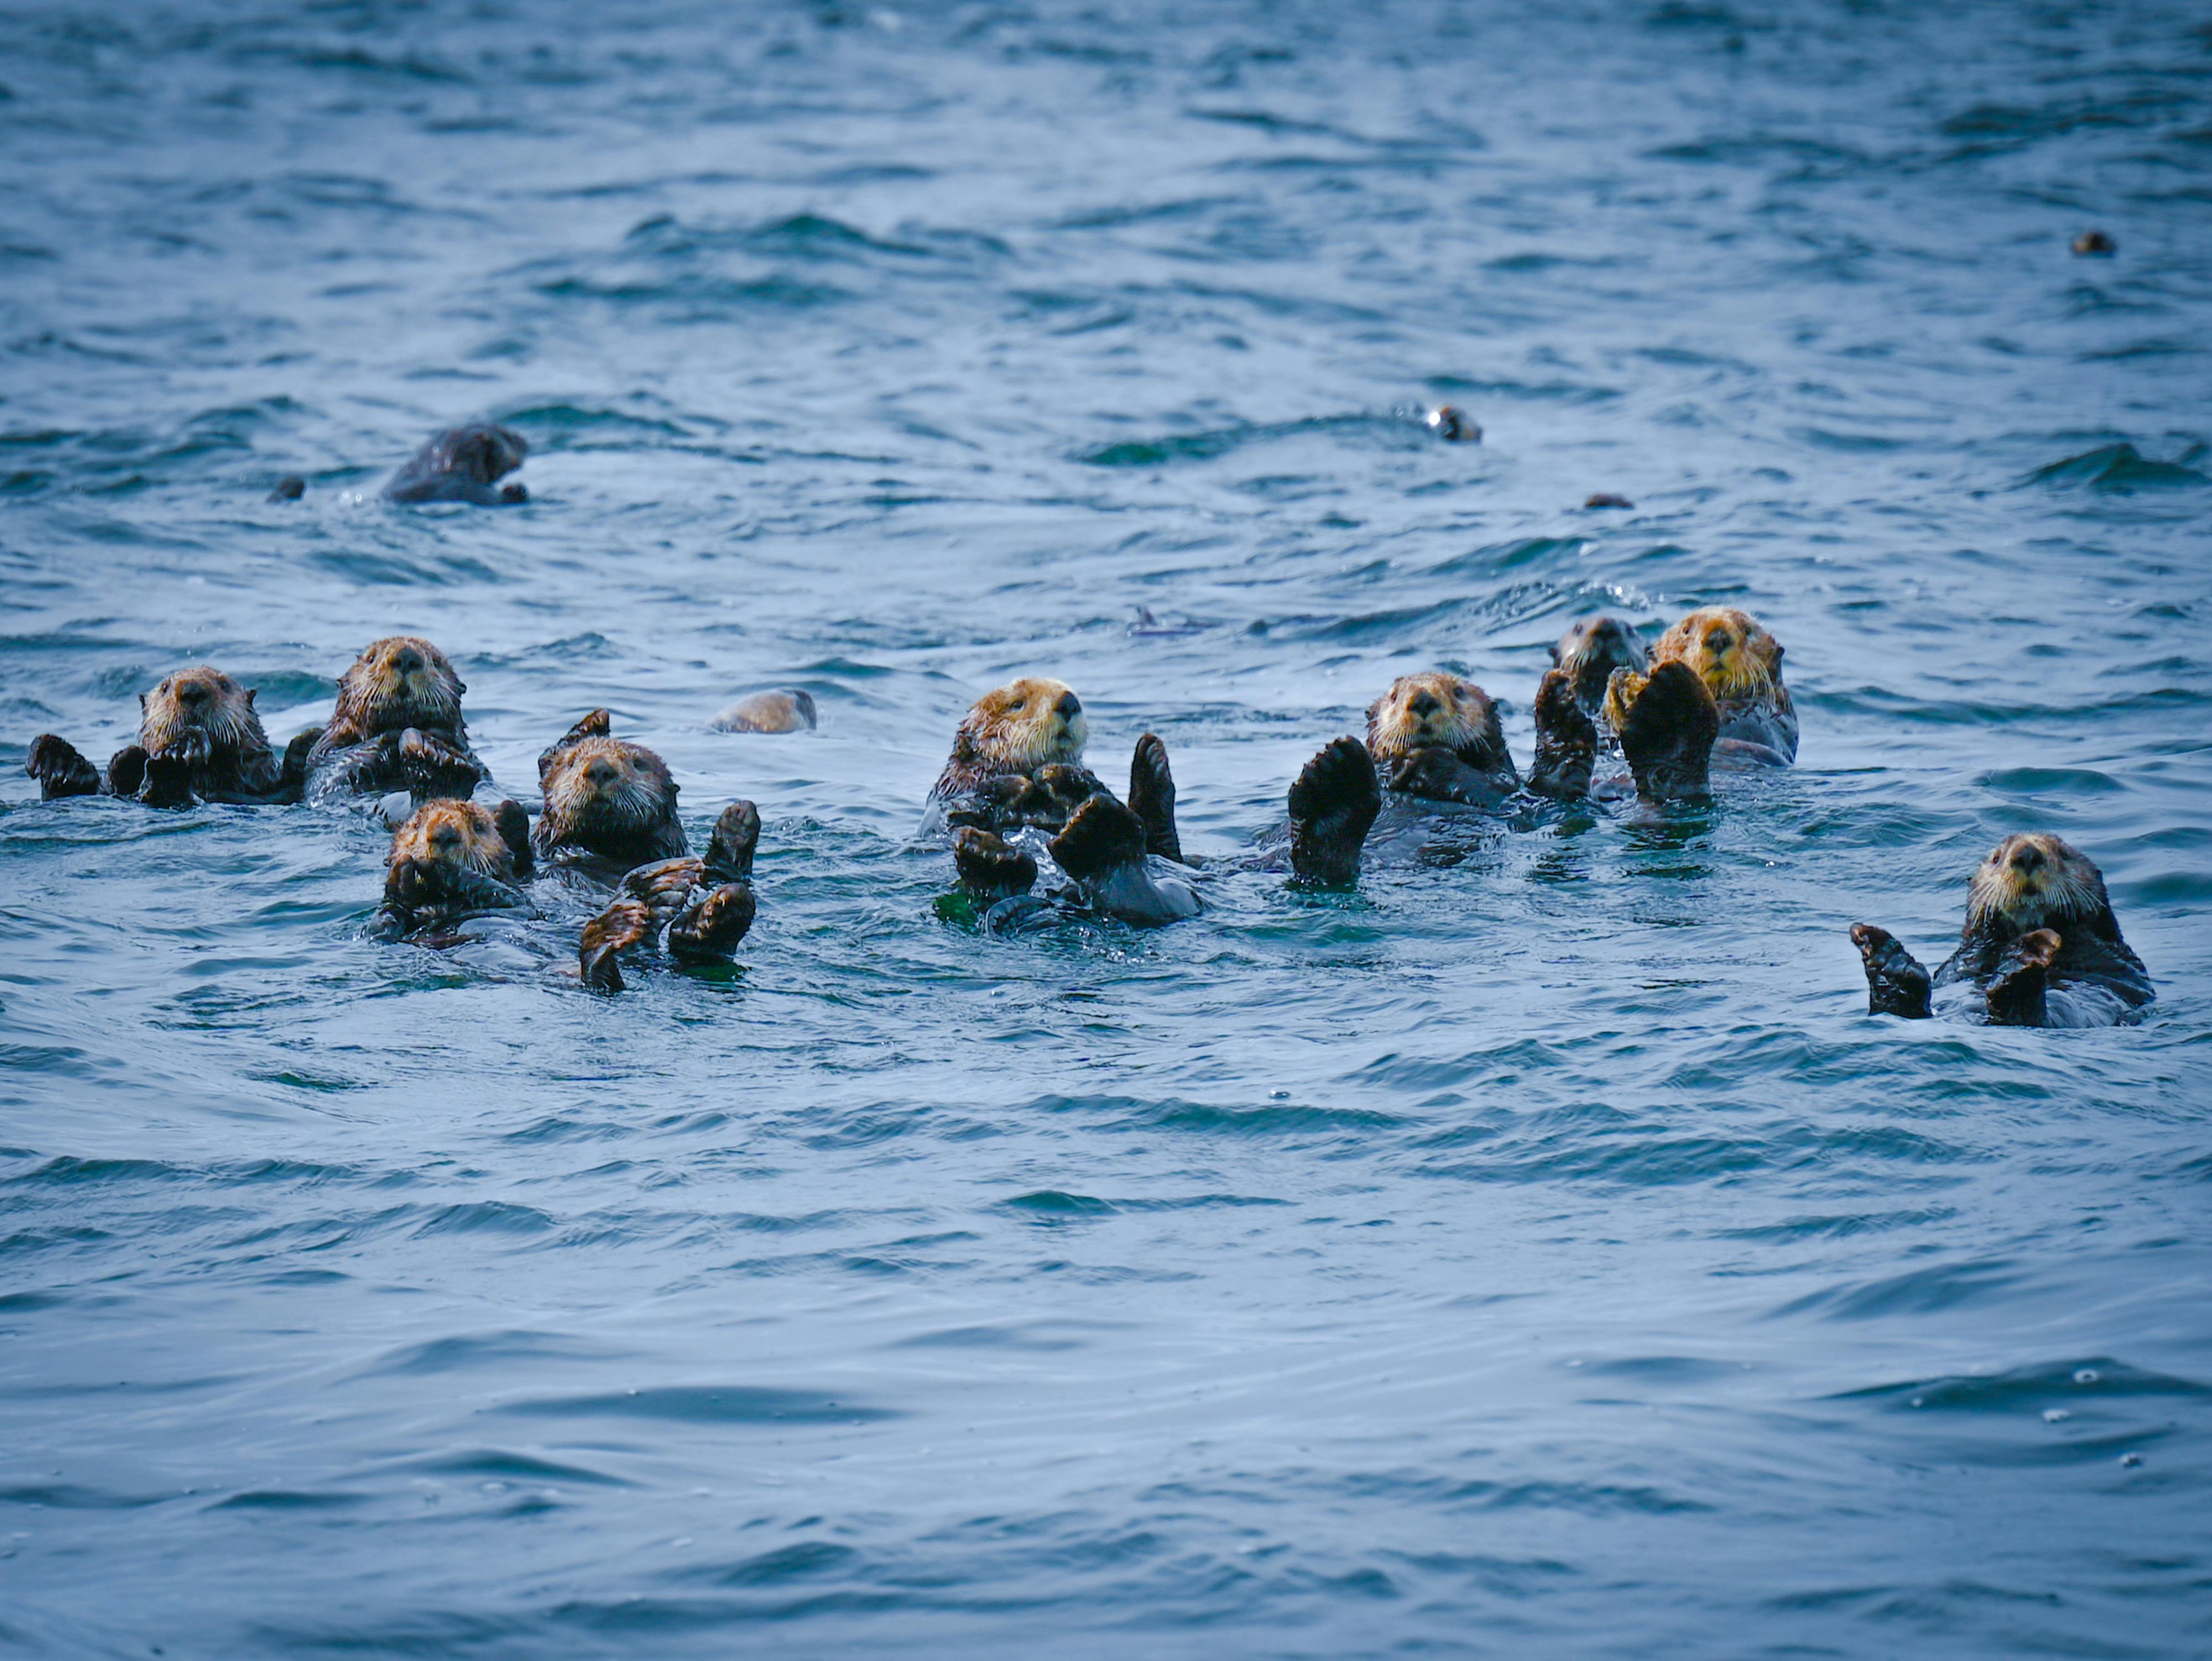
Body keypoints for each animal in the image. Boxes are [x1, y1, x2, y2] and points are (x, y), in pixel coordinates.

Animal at [375, 798, 535, 935]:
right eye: (417, 825)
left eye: (478, 826)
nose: (443, 833)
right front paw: (401, 872)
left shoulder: (520, 902)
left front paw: (432, 865)